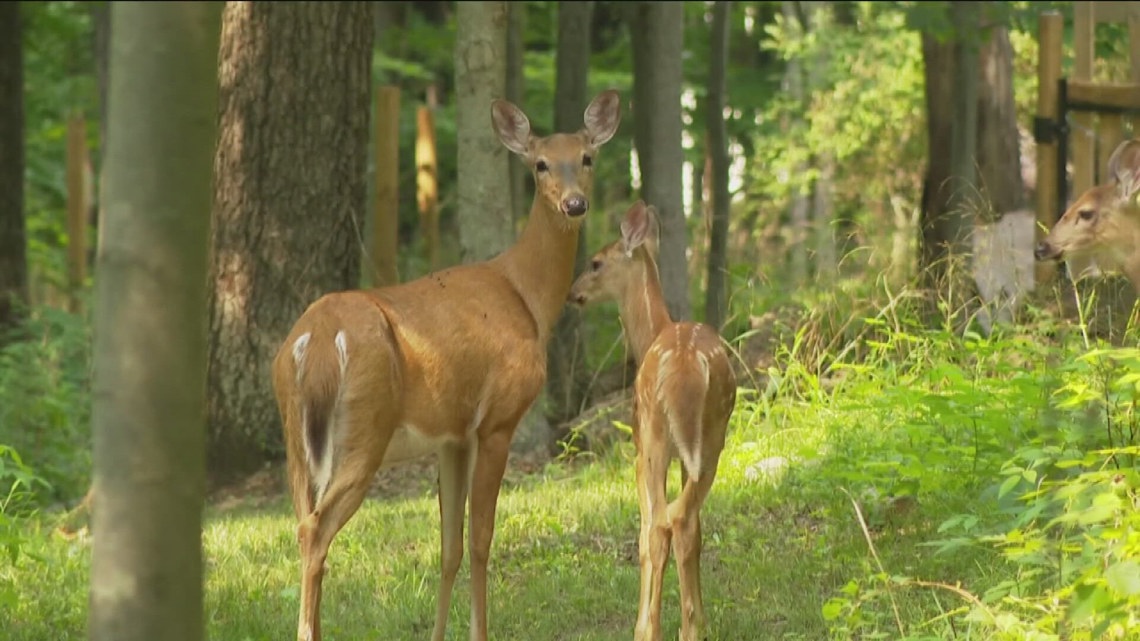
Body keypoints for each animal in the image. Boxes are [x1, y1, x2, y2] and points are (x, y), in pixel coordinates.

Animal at [270, 89, 621, 641]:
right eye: (540, 164)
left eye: (586, 157)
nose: (574, 203)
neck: (527, 296)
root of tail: (320, 339)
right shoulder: (497, 419)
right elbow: (481, 539)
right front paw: (480, 632)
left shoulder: (452, 435)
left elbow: (449, 546)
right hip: (365, 428)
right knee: (314, 530)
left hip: (295, 438)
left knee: (304, 524)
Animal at [567, 200, 737, 641]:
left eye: (595, 262)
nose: (573, 293)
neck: (650, 334)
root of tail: (687, 366)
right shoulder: (685, 455)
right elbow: (695, 529)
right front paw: (699, 617)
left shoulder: (638, 446)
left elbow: (644, 534)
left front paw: (642, 622)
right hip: (712, 438)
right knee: (686, 520)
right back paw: (693, 626)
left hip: (657, 436)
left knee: (662, 524)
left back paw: (652, 629)